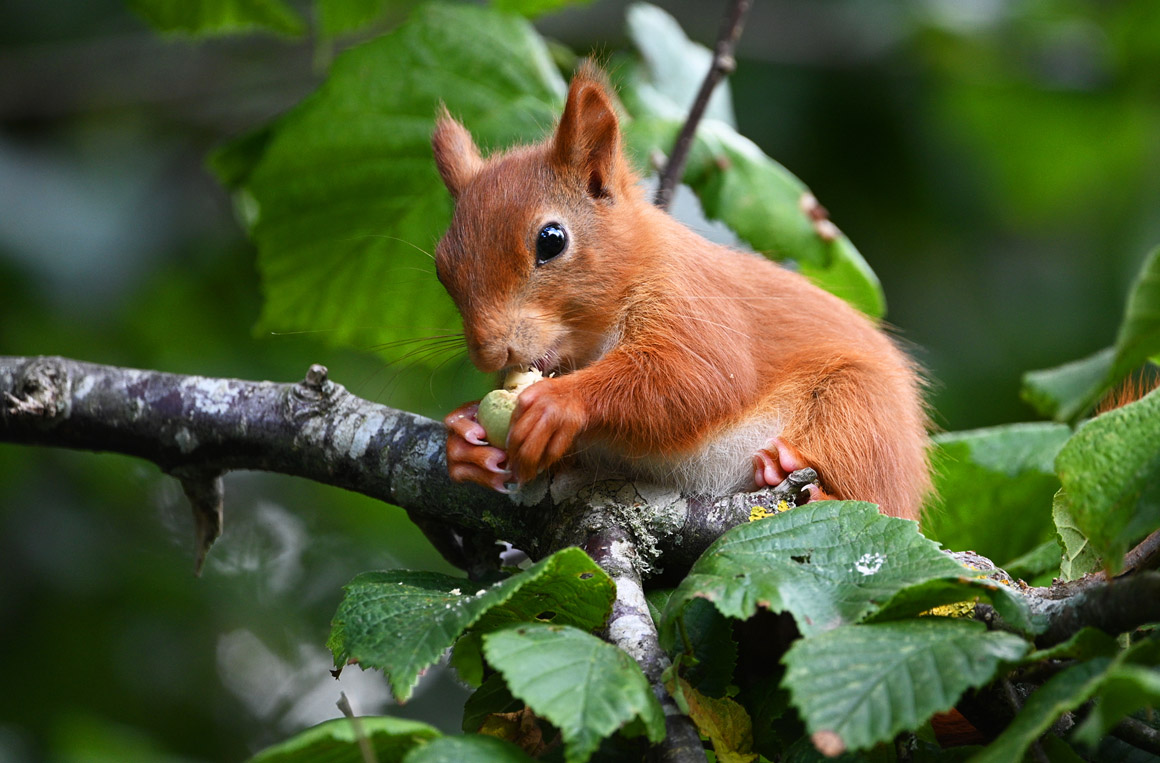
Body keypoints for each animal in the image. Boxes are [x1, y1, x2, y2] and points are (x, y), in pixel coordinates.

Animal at [432, 65, 930, 521]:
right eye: (441, 268)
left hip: (861, 408)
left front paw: (559, 403)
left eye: (551, 240)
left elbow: (697, 377)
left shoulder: (692, 301)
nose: (491, 354)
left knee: (875, 494)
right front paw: (464, 440)